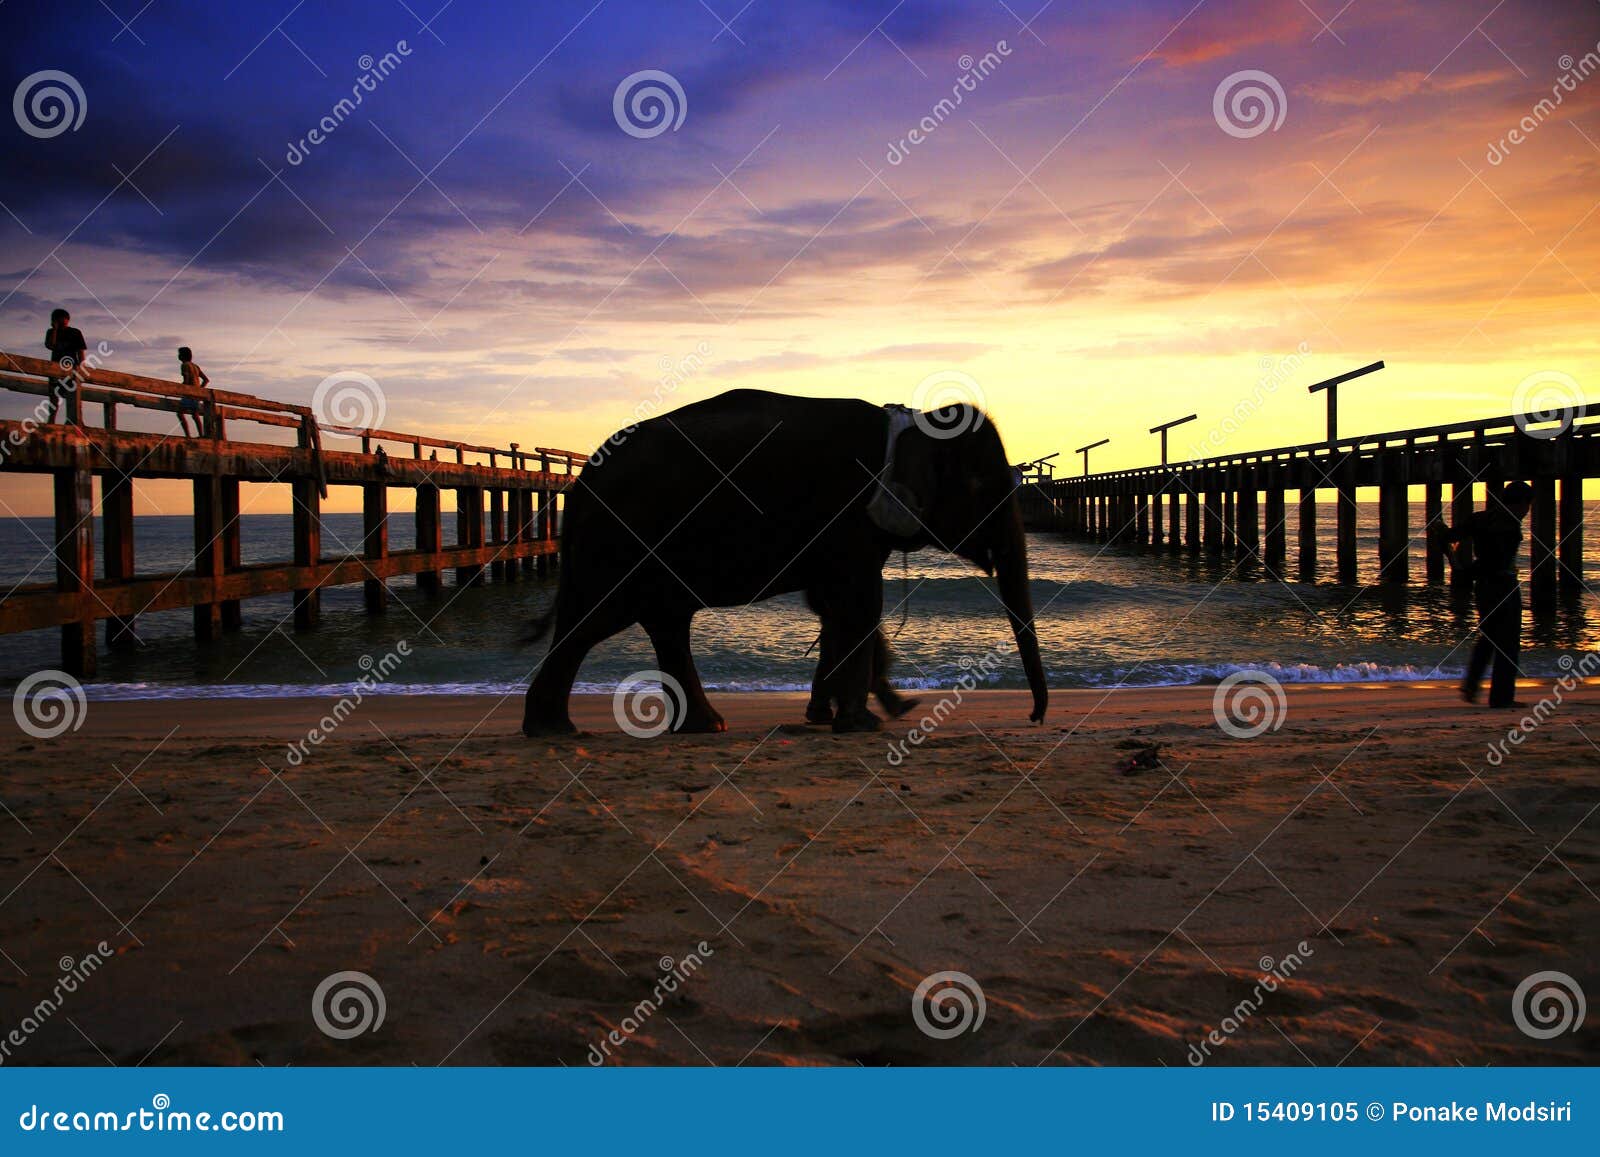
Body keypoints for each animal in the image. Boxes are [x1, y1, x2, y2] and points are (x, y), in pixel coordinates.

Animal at [521, 388, 1048, 735]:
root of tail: (580, 480)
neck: (913, 421)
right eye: (981, 486)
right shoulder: (847, 515)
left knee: (659, 622)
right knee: (601, 619)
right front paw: (864, 723)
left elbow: (835, 606)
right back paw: (555, 729)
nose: (1034, 717)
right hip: (625, 540)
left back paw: (694, 726)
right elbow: (859, 602)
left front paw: (843, 713)